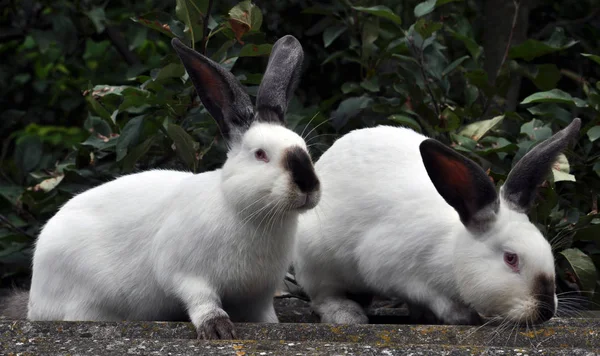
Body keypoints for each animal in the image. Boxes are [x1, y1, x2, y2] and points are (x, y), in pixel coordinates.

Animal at [23, 35, 322, 340]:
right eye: (260, 154)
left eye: (305, 148)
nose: (308, 184)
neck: (250, 214)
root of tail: (35, 298)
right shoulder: (185, 273)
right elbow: (202, 301)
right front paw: (218, 330)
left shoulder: (258, 296)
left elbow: (265, 317)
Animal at [296, 119, 580, 326]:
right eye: (511, 258)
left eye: (547, 249)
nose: (546, 310)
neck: (451, 251)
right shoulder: (392, 268)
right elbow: (431, 296)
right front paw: (462, 316)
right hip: (316, 260)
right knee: (322, 296)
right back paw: (346, 314)